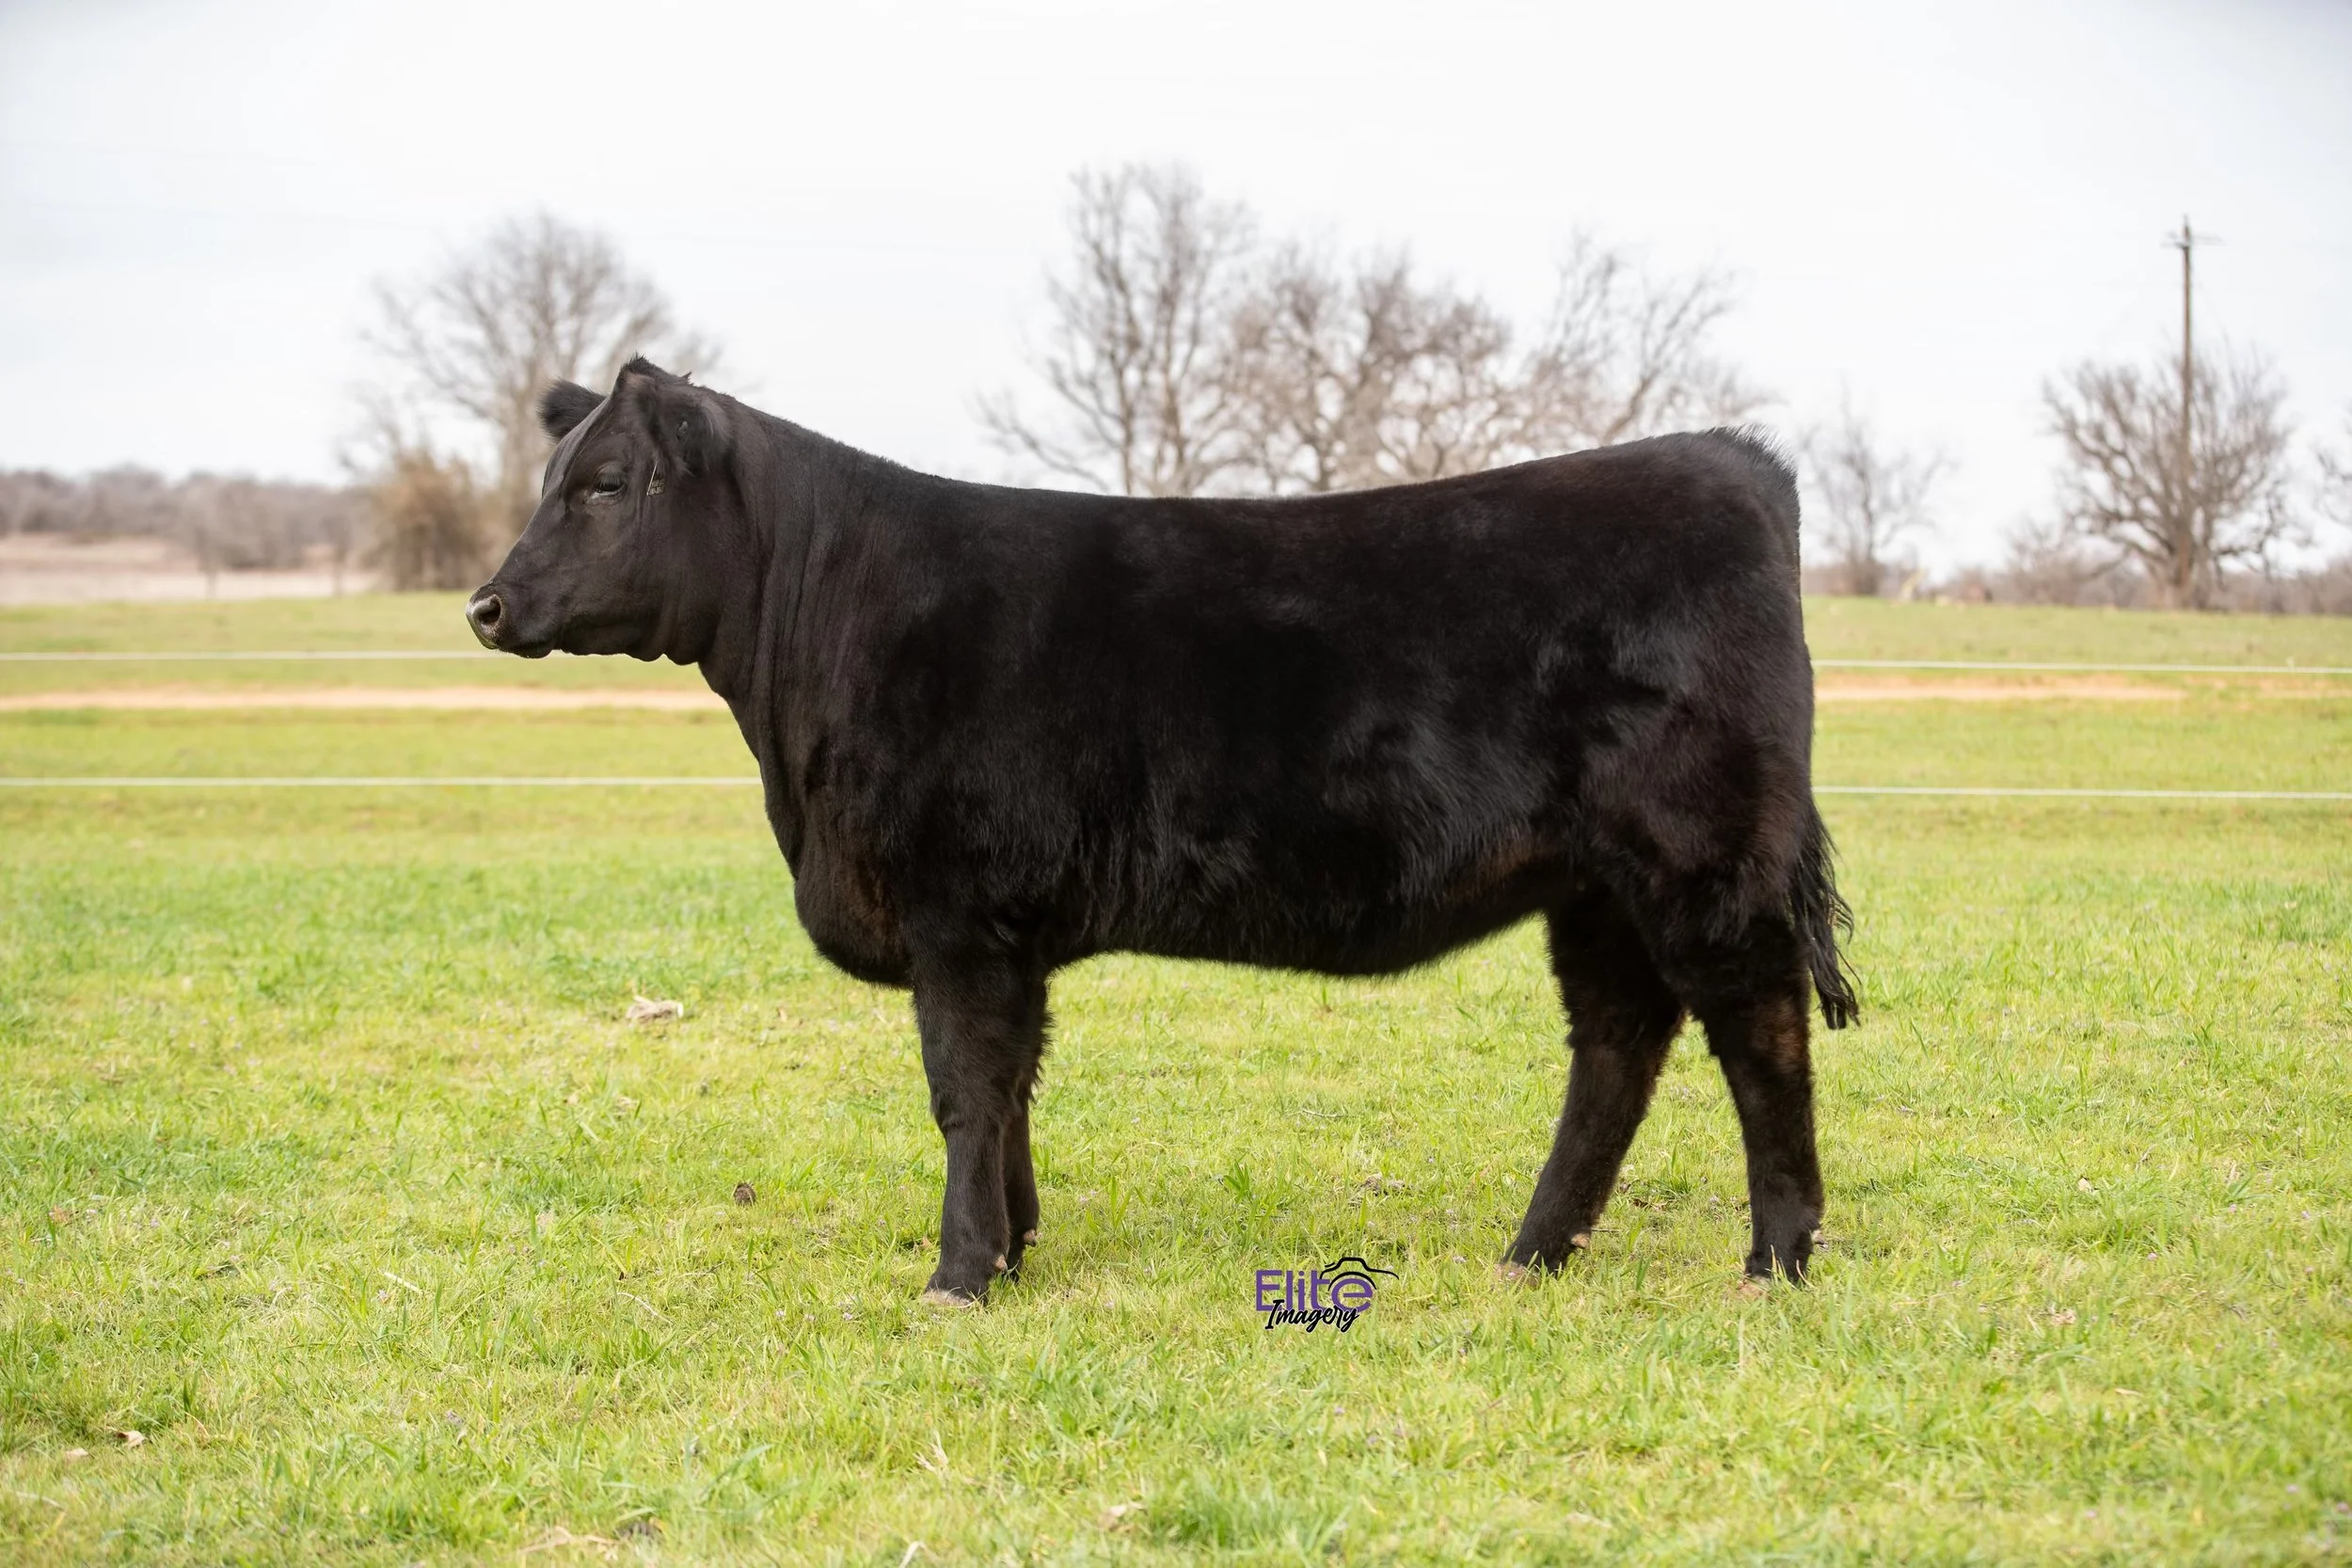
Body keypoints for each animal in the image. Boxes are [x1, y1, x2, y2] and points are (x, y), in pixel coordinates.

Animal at [466, 359, 1858, 1305]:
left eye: (606, 484)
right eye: (552, 479)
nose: (484, 603)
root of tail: (1733, 461)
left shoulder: (960, 910)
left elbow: (962, 1087)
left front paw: (959, 1274)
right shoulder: (1009, 930)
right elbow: (1010, 1088)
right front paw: (1016, 1245)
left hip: (1700, 854)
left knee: (1760, 1028)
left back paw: (1779, 1255)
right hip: (1594, 883)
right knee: (1618, 1042)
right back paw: (1534, 1252)